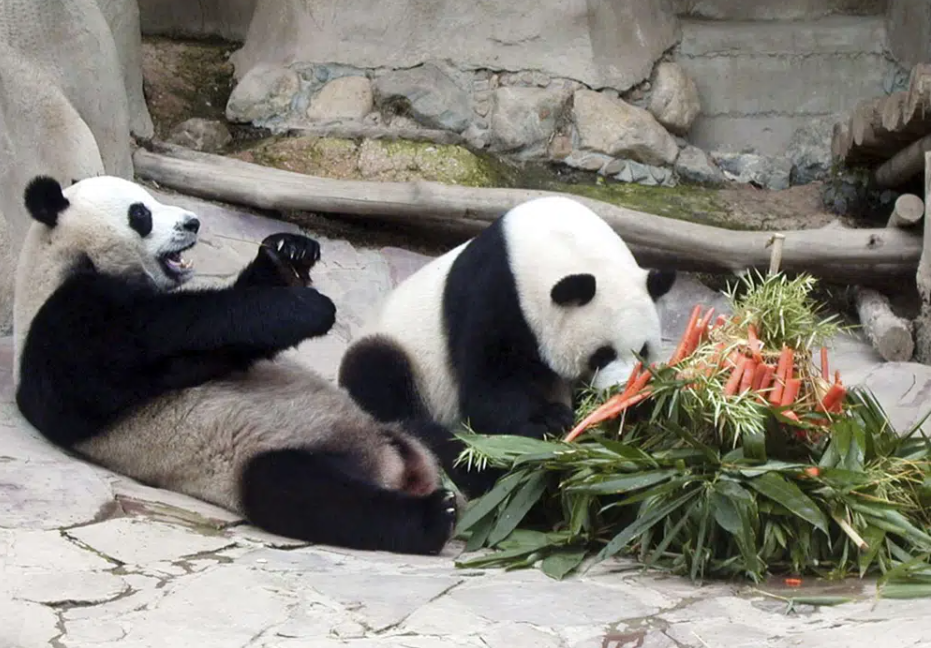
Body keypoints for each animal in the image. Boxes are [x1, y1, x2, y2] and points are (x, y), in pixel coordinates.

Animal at [13, 174, 461, 555]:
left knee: (453, 443)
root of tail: (402, 466)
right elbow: (149, 341)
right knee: (306, 494)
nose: (193, 222)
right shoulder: (61, 332)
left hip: (396, 425)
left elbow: (225, 348)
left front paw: (288, 253)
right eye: (140, 212)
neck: (62, 258)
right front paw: (303, 307)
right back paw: (435, 516)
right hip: (264, 461)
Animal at [338, 195, 676, 496]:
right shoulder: (493, 293)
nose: (621, 391)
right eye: (602, 355)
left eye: (644, 351)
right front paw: (549, 420)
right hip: (399, 352)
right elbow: (489, 387)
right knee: (378, 375)